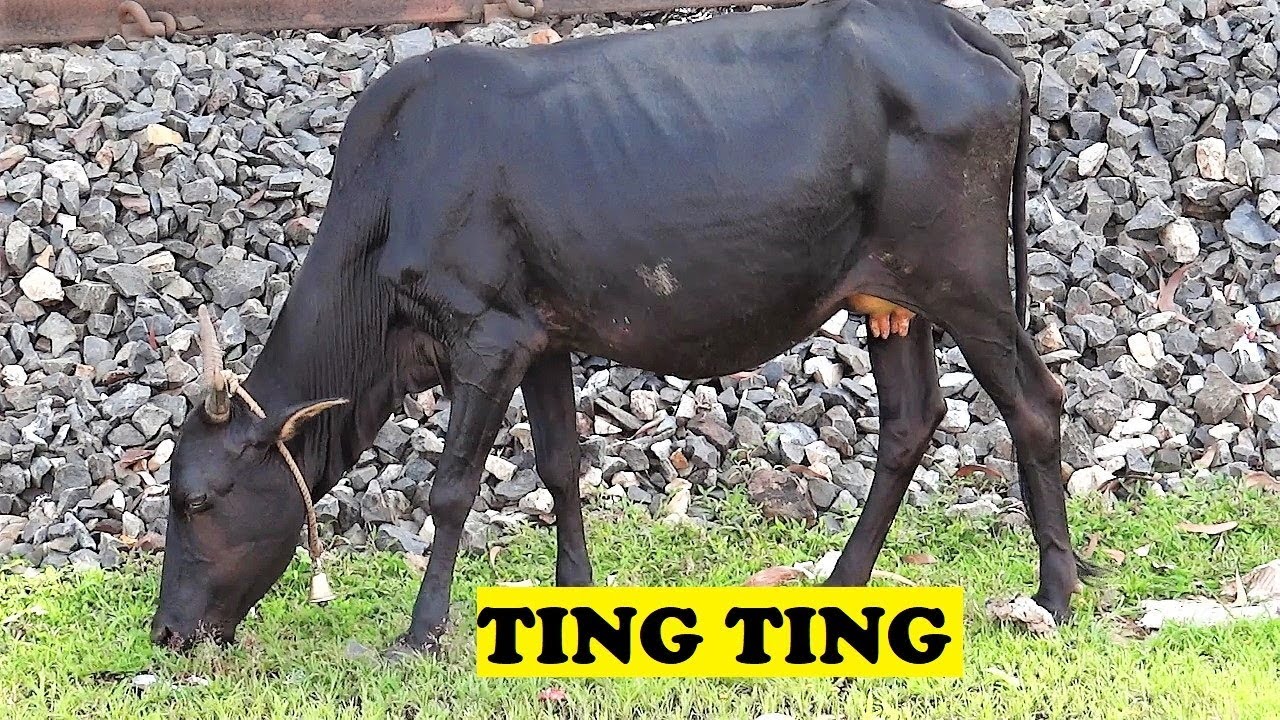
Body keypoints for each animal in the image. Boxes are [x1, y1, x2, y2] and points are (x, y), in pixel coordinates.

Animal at [151, 0, 1092, 653]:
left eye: (195, 500)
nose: (165, 632)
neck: (390, 188)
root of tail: (950, 27)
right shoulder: (539, 336)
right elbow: (560, 467)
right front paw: (574, 592)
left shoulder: (484, 335)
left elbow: (451, 490)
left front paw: (420, 632)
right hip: (892, 301)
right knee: (909, 421)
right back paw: (845, 581)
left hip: (968, 284)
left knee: (1035, 403)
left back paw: (1052, 596)